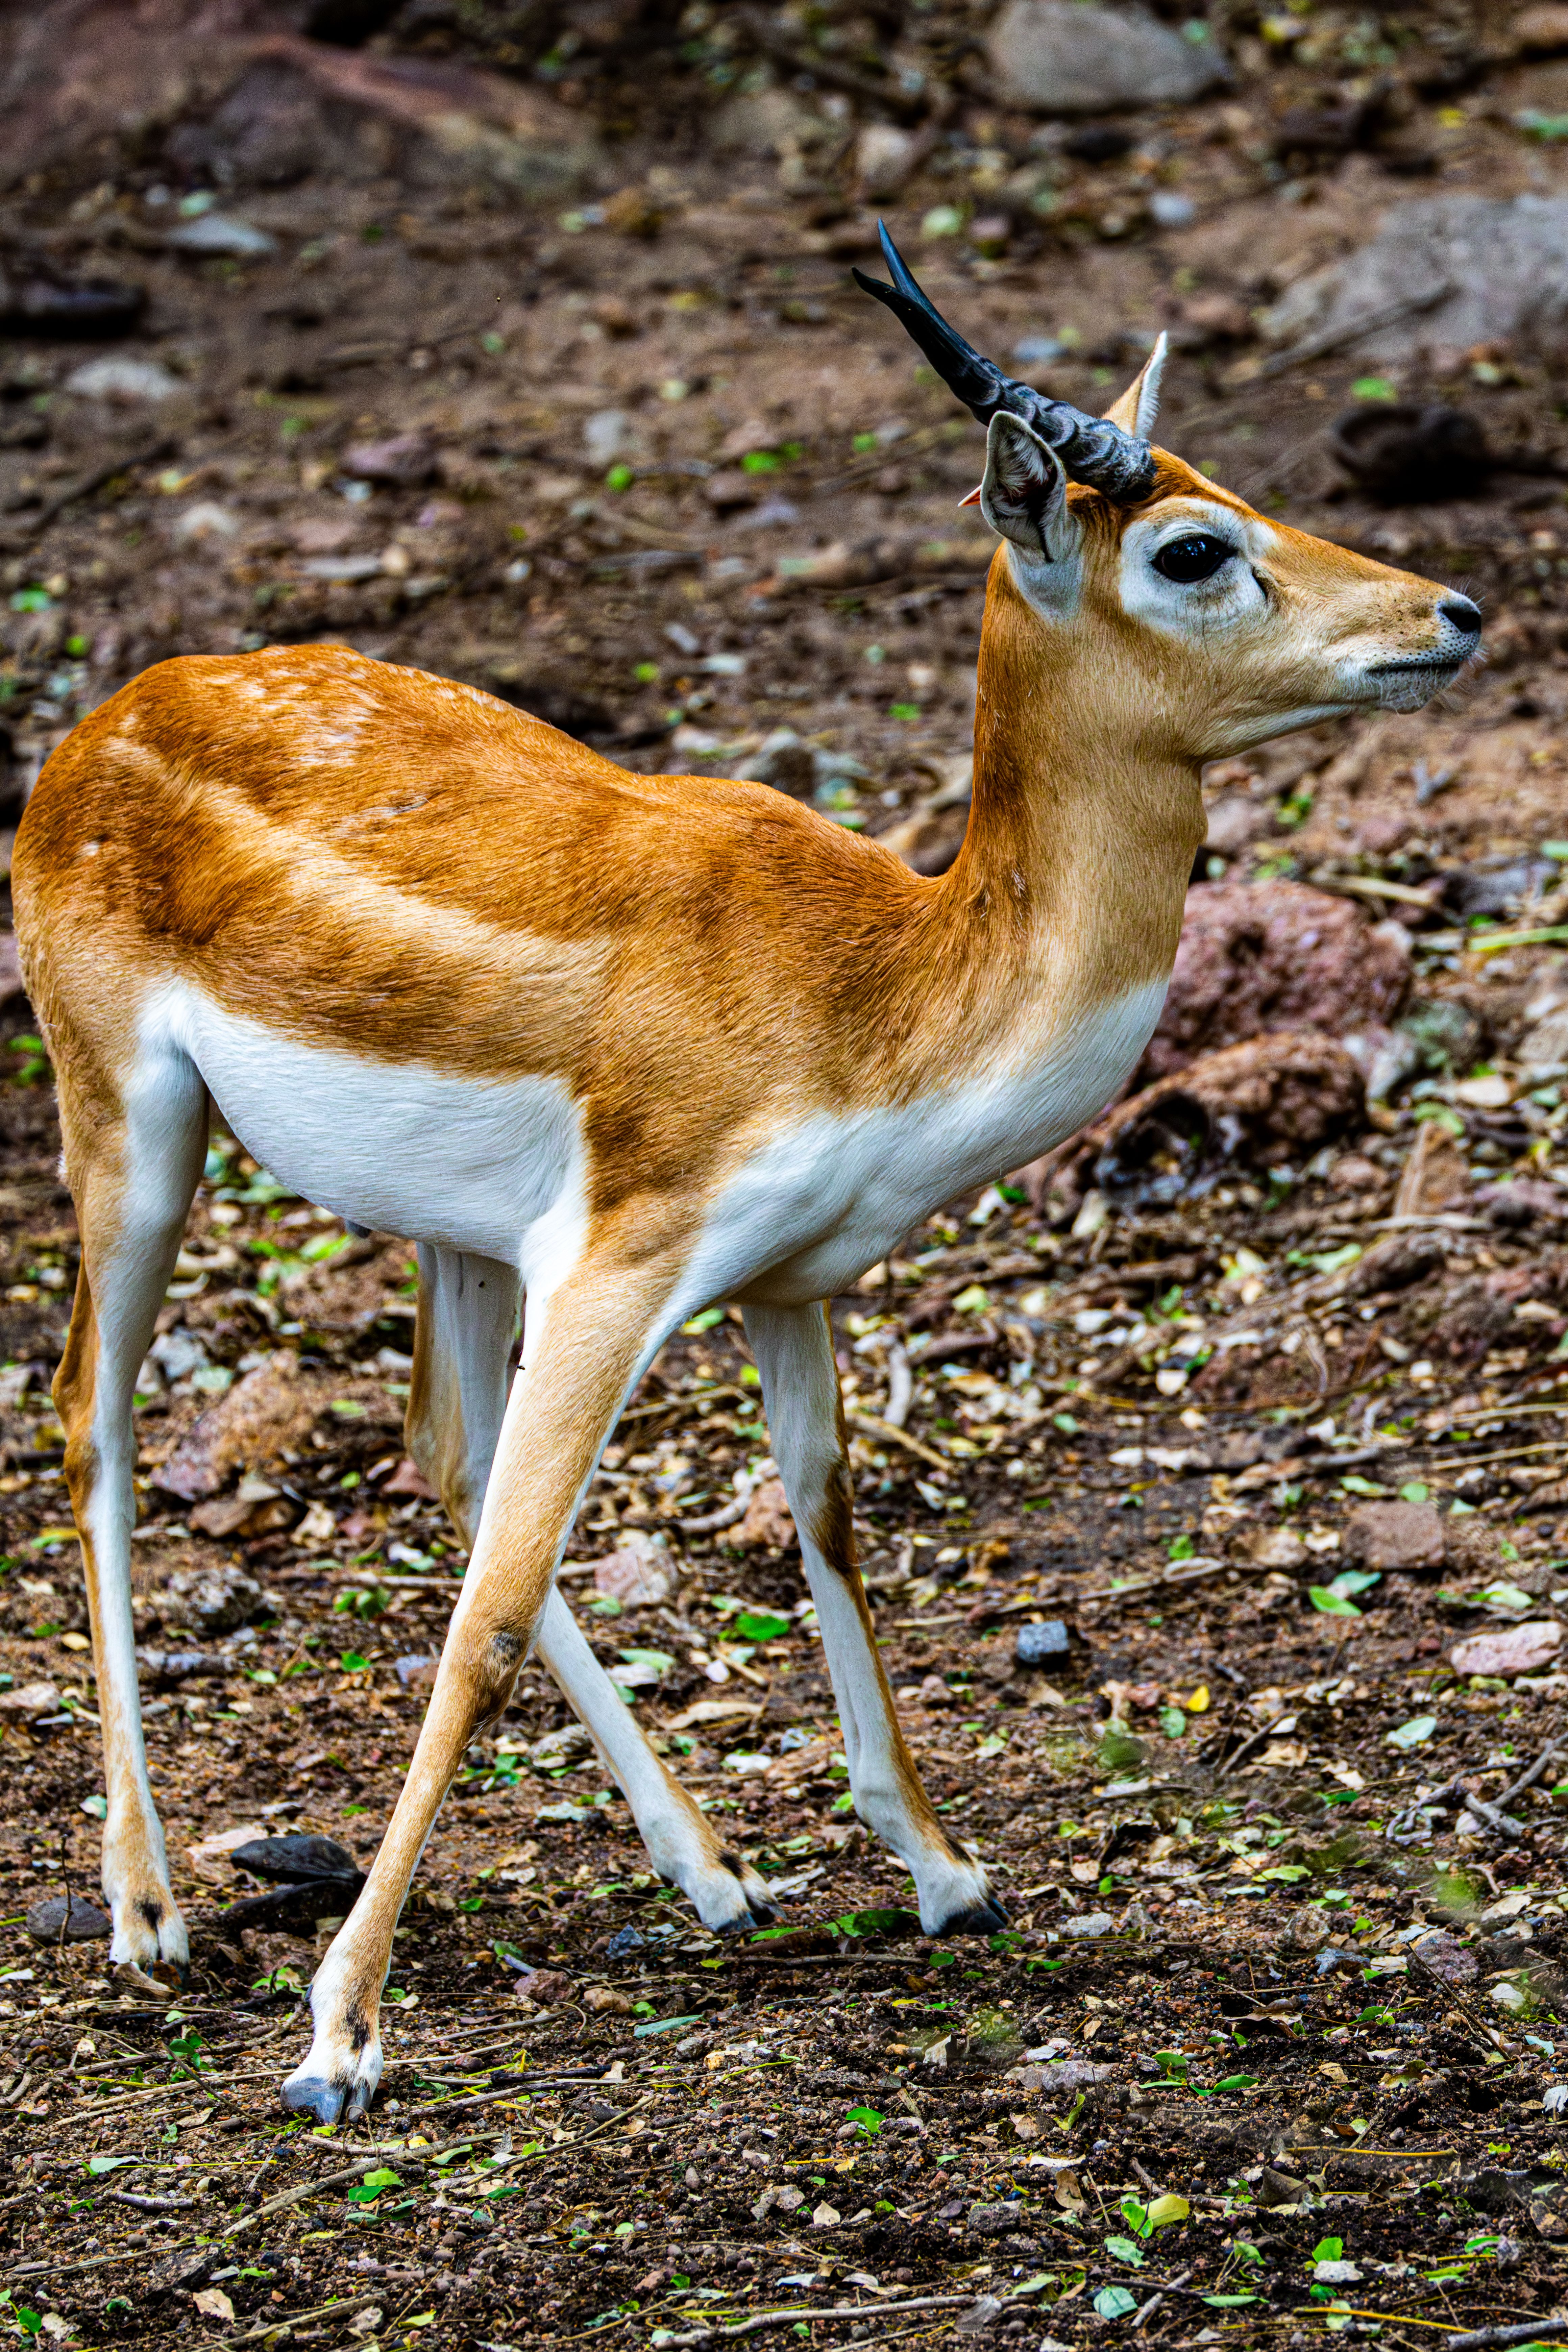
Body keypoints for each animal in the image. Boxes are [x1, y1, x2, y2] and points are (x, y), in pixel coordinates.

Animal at [13, 226, 1480, 2123]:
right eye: (1190, 546)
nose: (1449, 612)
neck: (883, 989)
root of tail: (95, 722)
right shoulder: (624, 1257)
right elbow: (490, 1615)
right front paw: (338, 2039)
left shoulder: (791, 1281)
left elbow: (826, 1523)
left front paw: (939, 1869)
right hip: (130, 1122)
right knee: (92, 1417)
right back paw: (148, 1912)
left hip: (446, 1237)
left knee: (444, 1460)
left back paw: (711, 1873)